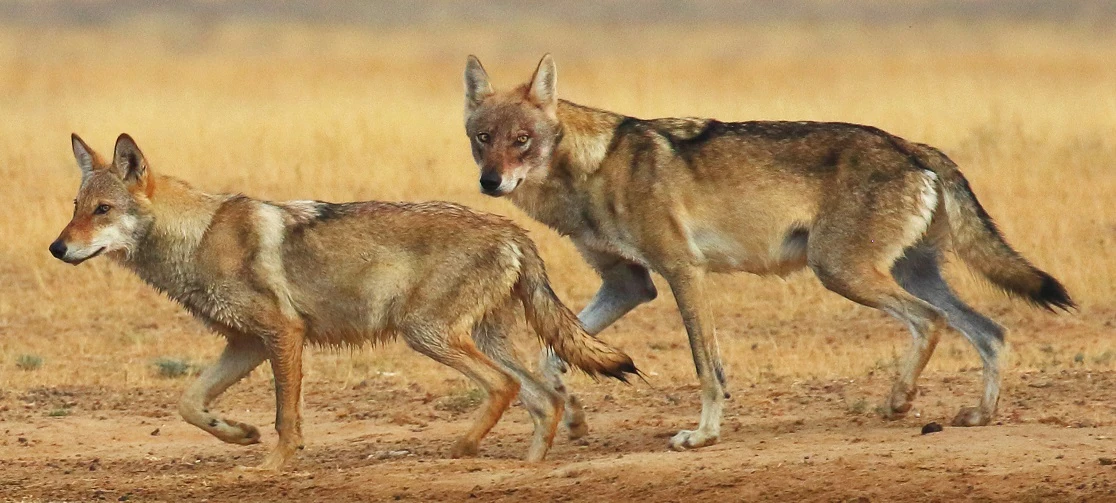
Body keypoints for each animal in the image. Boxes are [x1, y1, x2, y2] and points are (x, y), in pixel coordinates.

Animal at [50, 134, 637, 470]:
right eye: (75, 207)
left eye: (102, 210)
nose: (57, 248)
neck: (196, 238)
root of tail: (513, 230)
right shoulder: (246, 344)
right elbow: (190, 404)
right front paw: (239, 434)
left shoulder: (283, 336)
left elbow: (287, 417)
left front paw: (272, 466)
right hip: (477, 338)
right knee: (545, 398)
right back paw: (527, 467)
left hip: (426, 335)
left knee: (506, 386)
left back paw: (463, 450)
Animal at [461, 54, 1073, 451]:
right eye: (482, 138)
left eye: (521, 140)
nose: (491, 182)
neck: (590, 169)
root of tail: (911, 145)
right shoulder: (629, 285)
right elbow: (553, 355)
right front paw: (575, 421)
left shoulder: (682, 272)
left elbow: (707, 366)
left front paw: (703, 434)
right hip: (902, 273)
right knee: (989, 331)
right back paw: (979, 415)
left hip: (841, 272)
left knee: (931, 321)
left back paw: (898, 401)